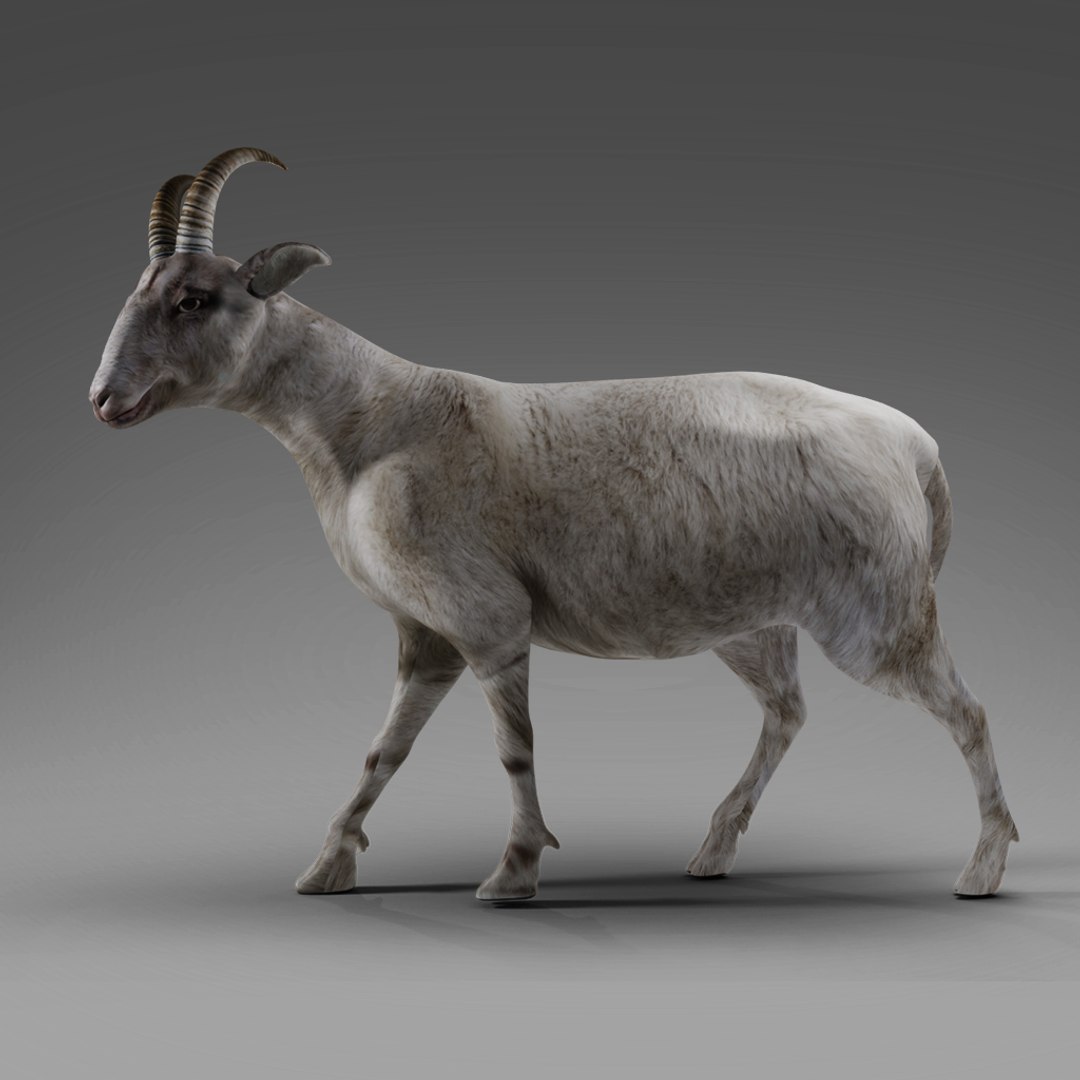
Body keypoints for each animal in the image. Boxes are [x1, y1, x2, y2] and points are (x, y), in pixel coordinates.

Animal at [90, 147, 1018, 901]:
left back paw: (982, 869)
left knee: (966, 711)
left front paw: (513, 875)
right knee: (788, 711)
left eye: (196, 299)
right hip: (753, 622)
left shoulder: (488, 620)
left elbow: (516, 748)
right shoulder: (424, 633)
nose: (103, 399)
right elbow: (383, 750)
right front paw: (326, 869)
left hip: (877, 612)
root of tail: (917, 448)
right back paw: (713, 851)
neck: (371, 419)